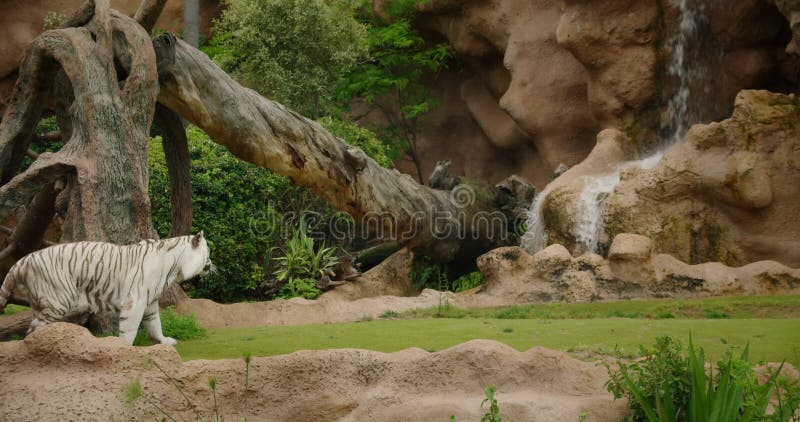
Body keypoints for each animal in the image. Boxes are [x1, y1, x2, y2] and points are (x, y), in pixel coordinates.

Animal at [0, 231, 212, 346]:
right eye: (207, 253)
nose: (211, 264)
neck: (174, 266)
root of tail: (23, 260)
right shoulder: (135, 302)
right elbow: (130, 328)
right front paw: (124, 348)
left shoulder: (150, 303)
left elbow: (154, 324)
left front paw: (164, 341)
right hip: (57, 301)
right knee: (33, 329)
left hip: (41, 303)